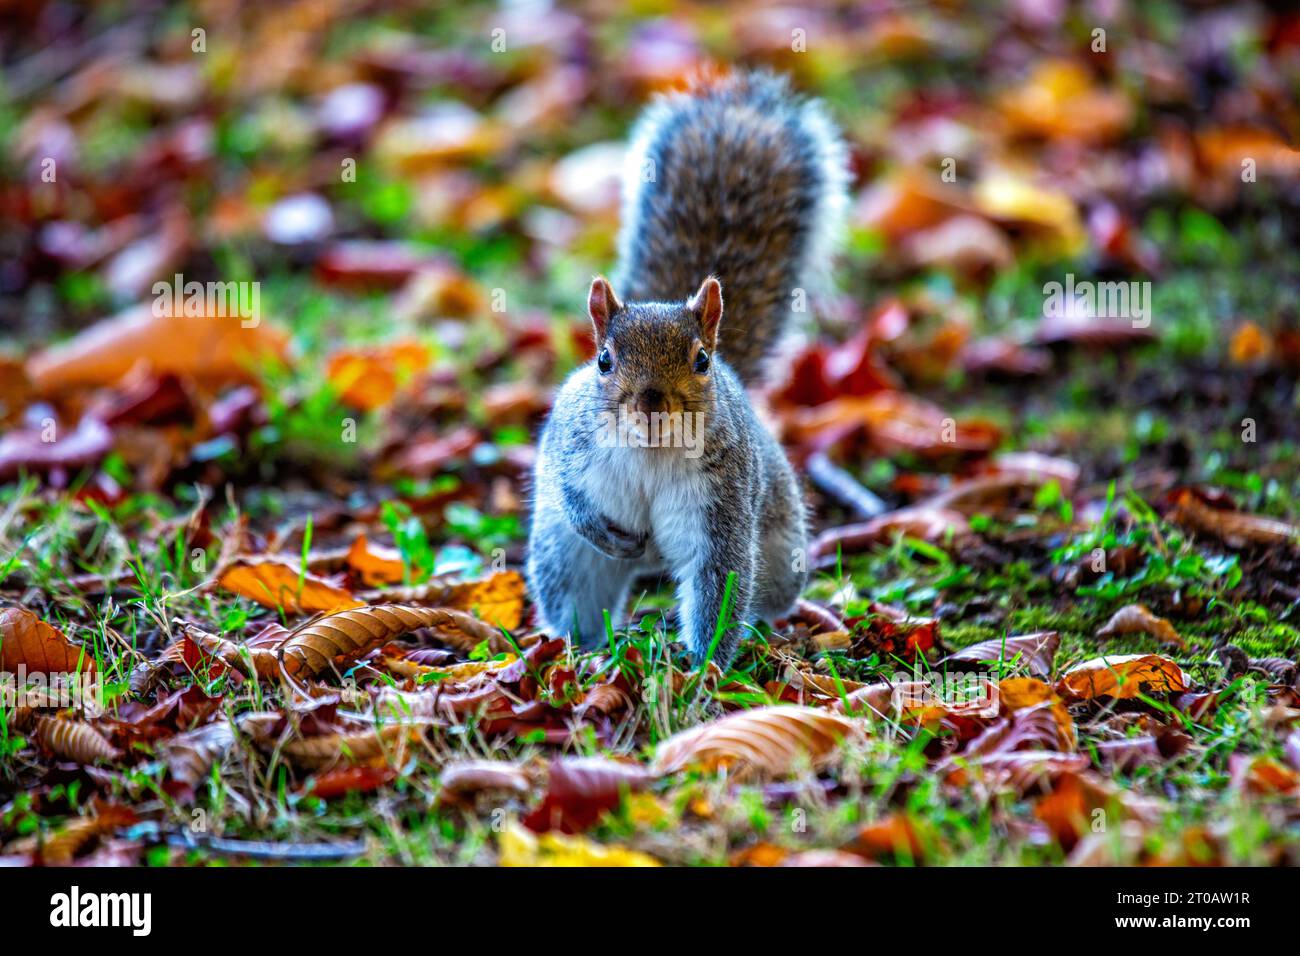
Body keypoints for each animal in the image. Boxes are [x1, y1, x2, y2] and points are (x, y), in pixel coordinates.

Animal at [526, 69, 850, 666]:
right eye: (603, 361)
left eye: (701, 360)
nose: (652, 405)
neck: (652, 452)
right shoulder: (570, 446)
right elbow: (571, 495)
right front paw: (607, 533)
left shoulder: (722, 508)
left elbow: (719, 586)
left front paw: (703, 669)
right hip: (562, 559)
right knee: (575, 596)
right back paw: (583, 651)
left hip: (780, 554)